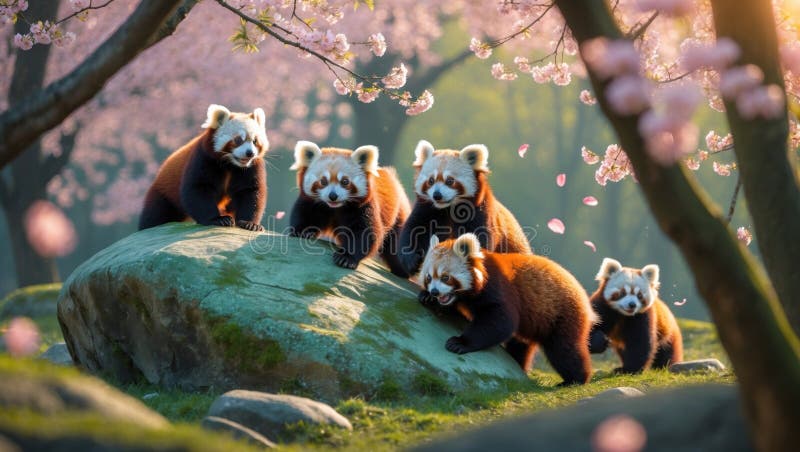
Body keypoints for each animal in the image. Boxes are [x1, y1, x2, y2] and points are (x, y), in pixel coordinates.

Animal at [139, 104, 269, 231]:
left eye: (255, 141)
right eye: (238, 140)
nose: (250, 153)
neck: (231, 165)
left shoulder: (251, 167)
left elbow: (251, 192)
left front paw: (250, 223)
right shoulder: (204, 158)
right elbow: (198, 189)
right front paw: (218, 219)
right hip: (164, 194)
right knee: (155, 214)